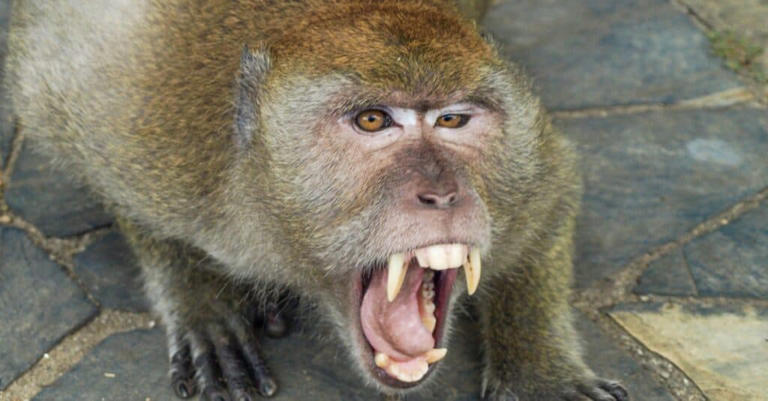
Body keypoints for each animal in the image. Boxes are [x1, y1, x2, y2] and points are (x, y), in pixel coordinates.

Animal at [5, 1, 630, 400]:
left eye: (453, 120)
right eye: (373, 120)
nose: (443, 193)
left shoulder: (525, 173)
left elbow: (555, 197)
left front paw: (539, 372)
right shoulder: (149, 133)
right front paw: (198, 296)